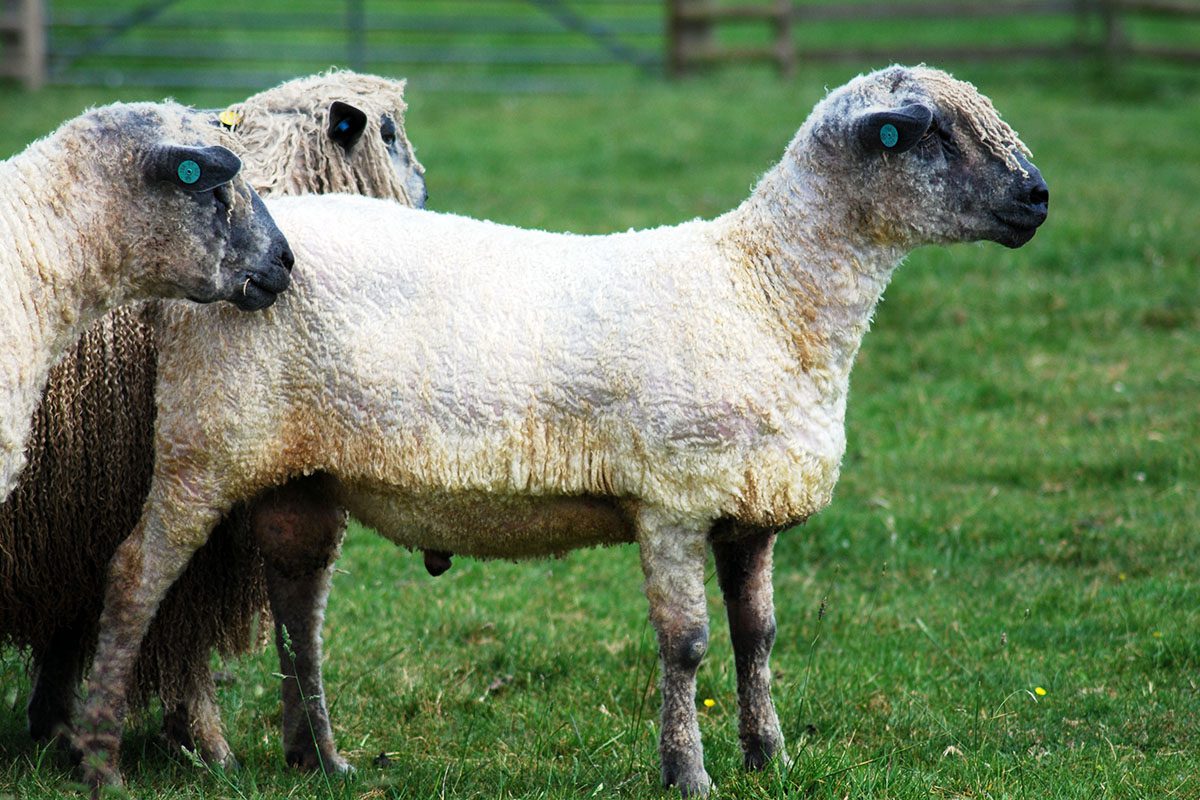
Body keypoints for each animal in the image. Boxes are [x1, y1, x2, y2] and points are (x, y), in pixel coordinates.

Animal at [78, 65, 1048, 794]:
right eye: (932, 133)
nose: (1039, 199)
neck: (766, 291)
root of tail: (241, 256)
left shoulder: (748, 510)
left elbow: (758, 636)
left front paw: (768, 756)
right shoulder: (672, 499)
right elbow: (687, 645)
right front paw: (688, 773)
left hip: (299, 476)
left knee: (297, 607)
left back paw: (319, 757)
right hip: (204, 447)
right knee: (131, 580)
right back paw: (98, 757)